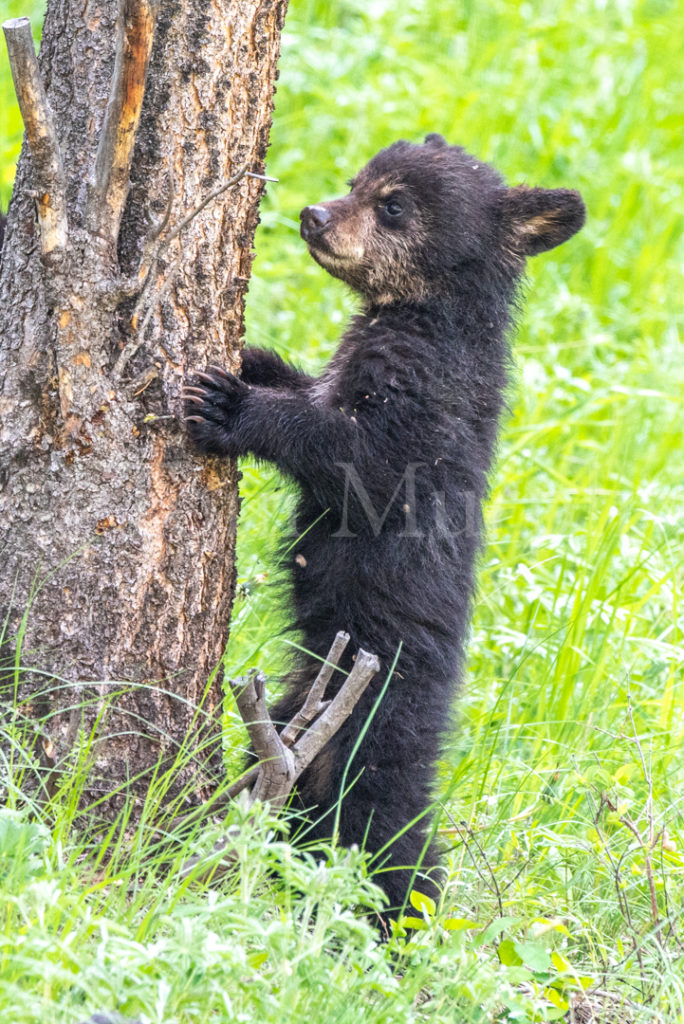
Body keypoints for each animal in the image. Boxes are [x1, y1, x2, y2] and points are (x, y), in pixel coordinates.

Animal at [185, 134, 585, 915]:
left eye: (393, 205)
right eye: (355, 180)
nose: (312, 214)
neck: (424, 316)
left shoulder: (426, 403)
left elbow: (355, 460)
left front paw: (228, 403)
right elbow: (309, 386)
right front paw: (249, 356)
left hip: (375, 720)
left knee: (386, 828)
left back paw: (401, 920)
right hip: (298, 709)